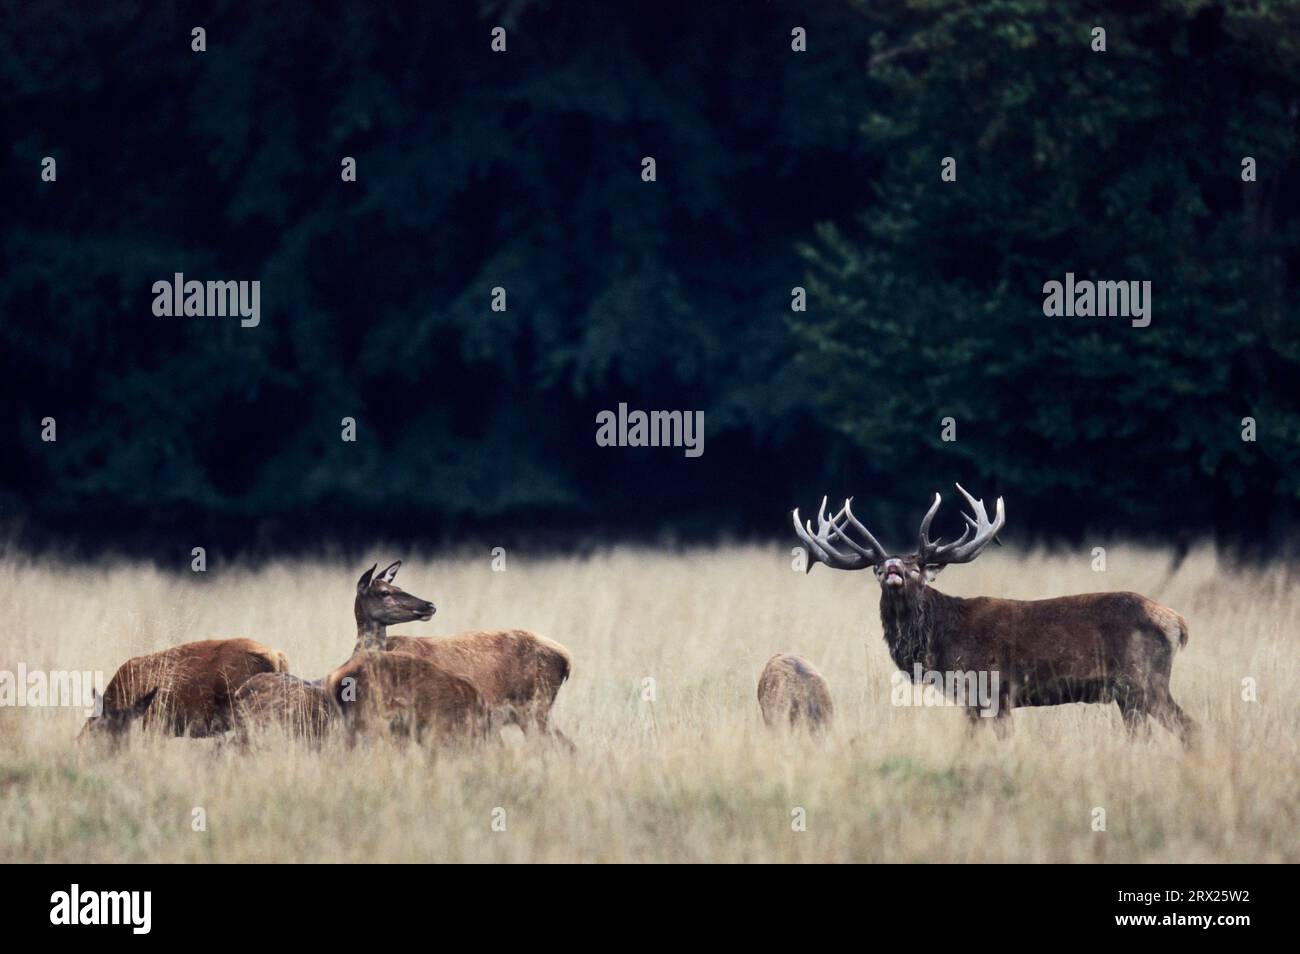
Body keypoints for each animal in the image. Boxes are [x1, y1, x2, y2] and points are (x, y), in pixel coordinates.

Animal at [793, 485, 1196, 745]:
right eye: (877, 569)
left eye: (916, 567)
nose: (892, 567)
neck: (941, 644)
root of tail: (1177, 622)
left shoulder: (993, 688)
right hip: (1130, 693)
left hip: (1144, 681)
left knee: (1188, 726)